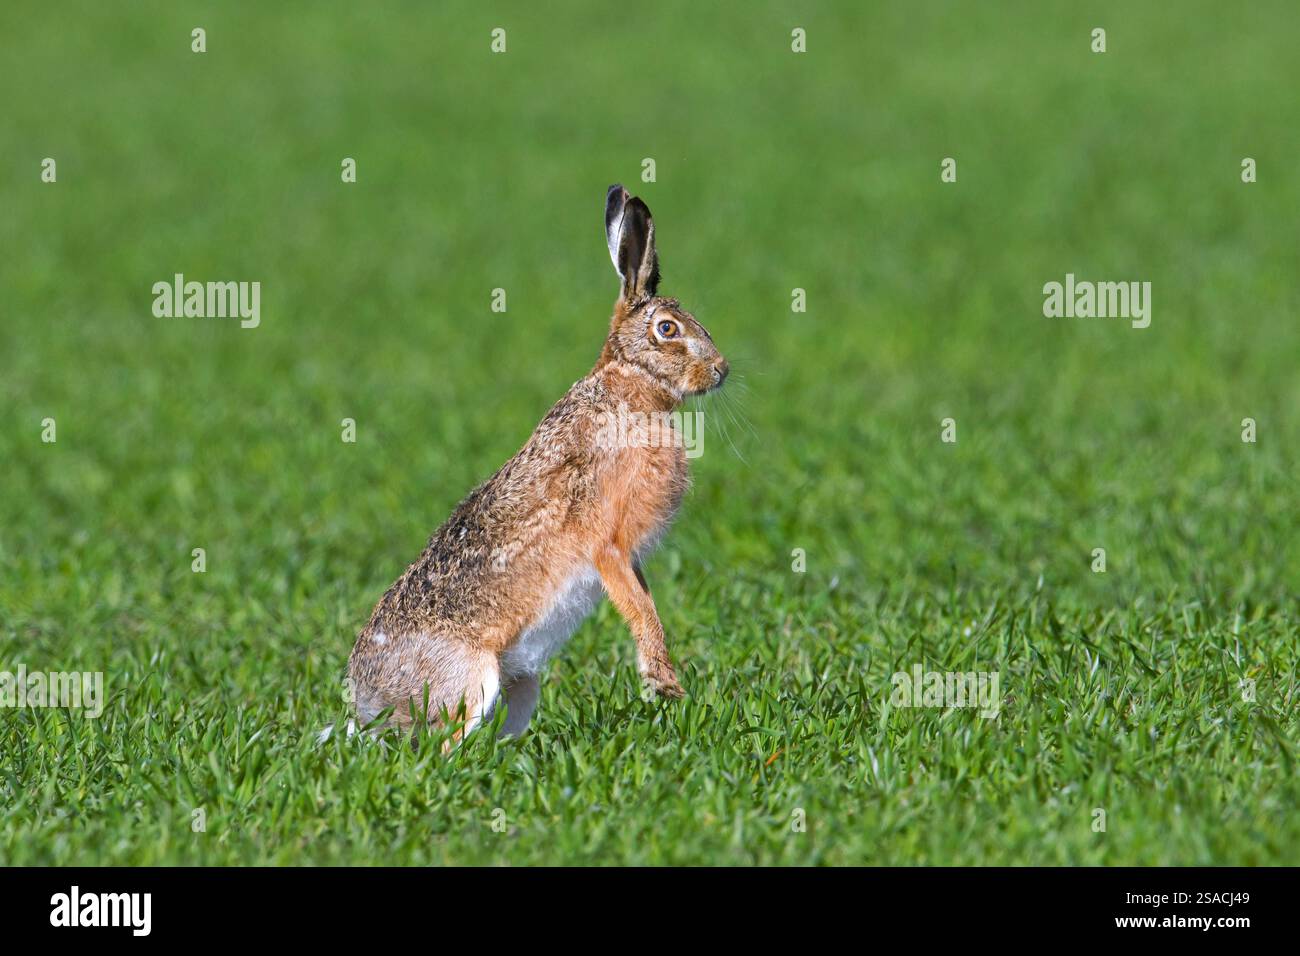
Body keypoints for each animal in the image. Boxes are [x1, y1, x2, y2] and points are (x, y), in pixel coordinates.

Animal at [347, 184, 728, 741]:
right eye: (667, 329)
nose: (722, 370)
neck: (628, 392)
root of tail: (367, 703)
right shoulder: (607, 542)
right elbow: (638, 608)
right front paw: (662, 681)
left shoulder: (629, 557)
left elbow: (644, 596)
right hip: (471, 683)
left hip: (521, 687)